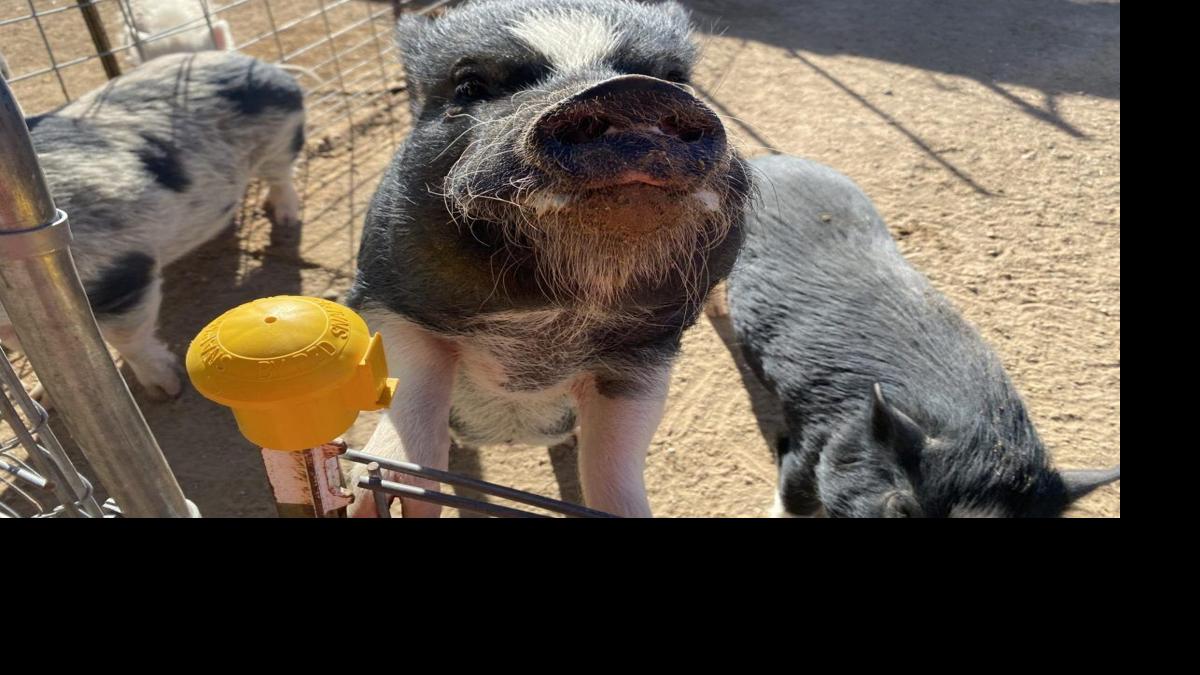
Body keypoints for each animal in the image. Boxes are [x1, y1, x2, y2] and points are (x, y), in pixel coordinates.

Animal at [0, 51, 304, 400]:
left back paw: (284, 219)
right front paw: (42, 397)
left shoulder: (120, 270)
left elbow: (127, 338)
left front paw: (167, 389)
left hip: (281, 138)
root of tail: (261, 65)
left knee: (282, 177)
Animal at [345, 0, 751, 517]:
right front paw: (374, 497)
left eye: (673, 76)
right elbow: (410, 387)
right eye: (469, 86)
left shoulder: (647, 349)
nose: (633, 93)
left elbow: (616, 453)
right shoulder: (386, 296)